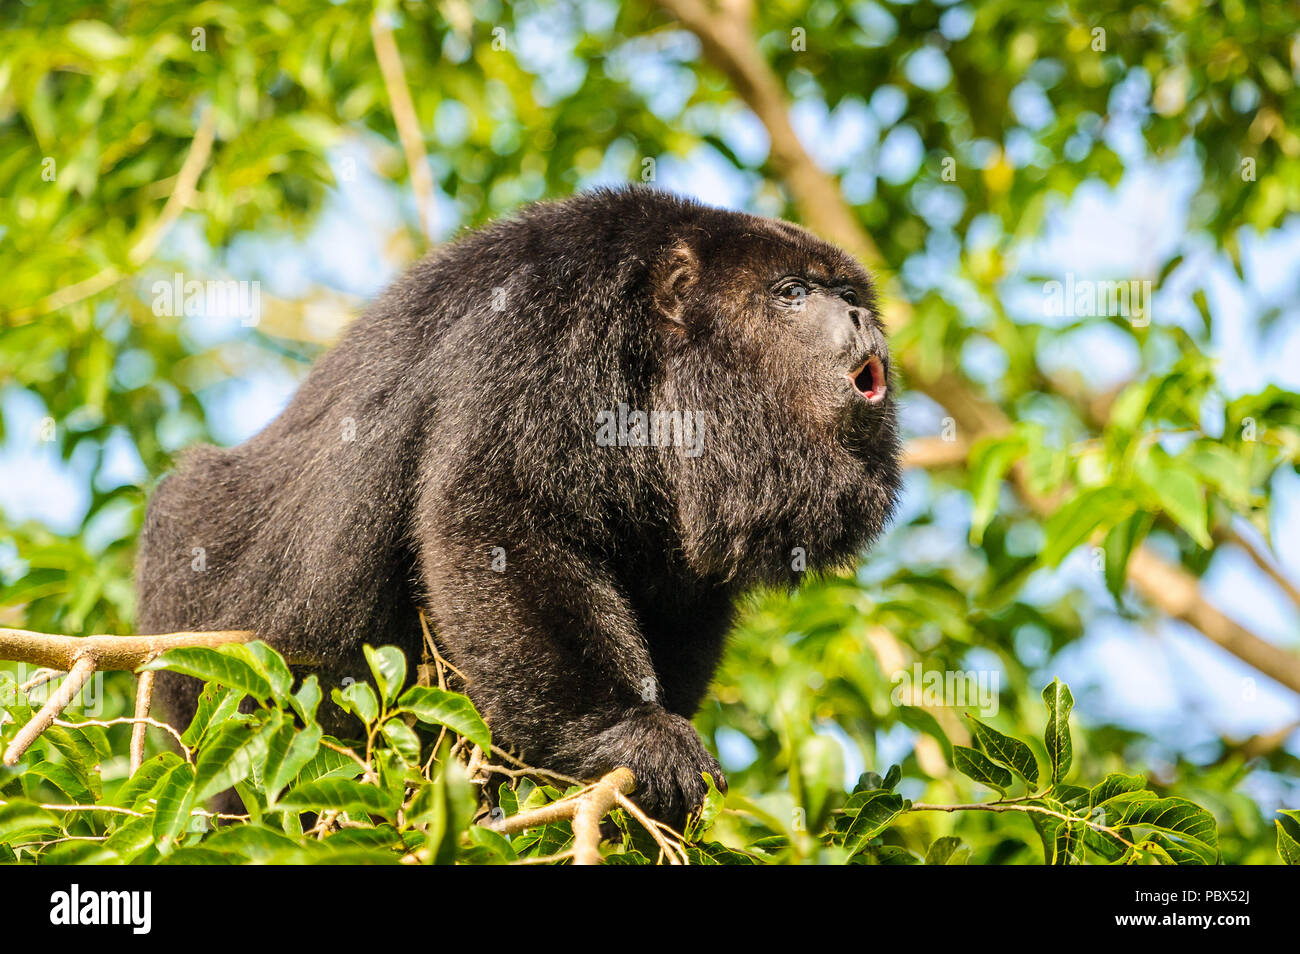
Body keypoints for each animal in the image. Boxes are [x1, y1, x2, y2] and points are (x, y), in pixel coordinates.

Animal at [135, 187, 901, 829]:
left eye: (845, 292)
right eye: (792, 293)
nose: (859, 313)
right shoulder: (545, 329)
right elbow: (498, 519)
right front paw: (627, 732)